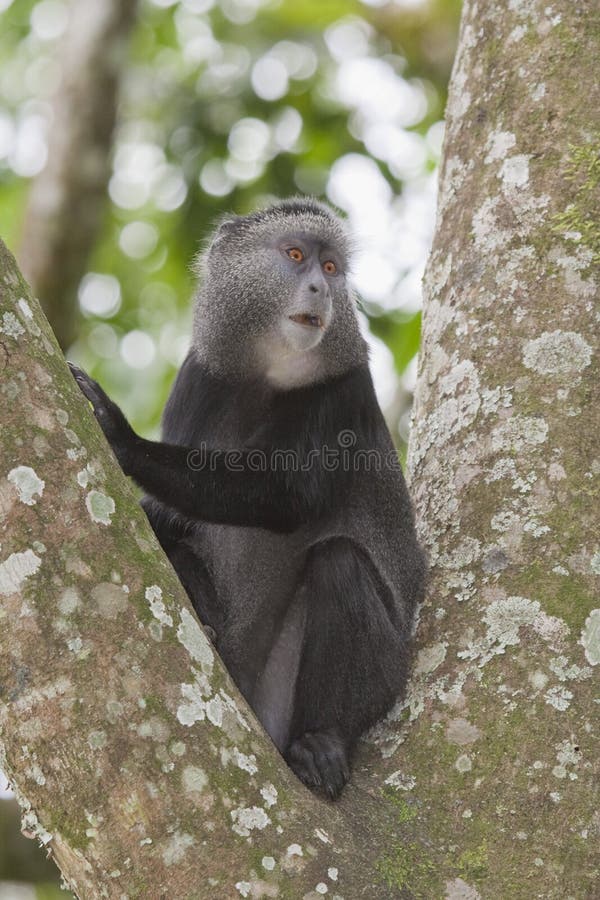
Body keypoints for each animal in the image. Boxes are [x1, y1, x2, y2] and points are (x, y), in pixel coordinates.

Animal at [69, 198, 426, 799]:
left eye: (332, 268)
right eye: (297, 255)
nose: (321, 289)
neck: (269, 371)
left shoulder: (344, 389)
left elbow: (287, 497)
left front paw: (122, 438)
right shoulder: (197, 374)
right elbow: (170, 515)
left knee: (339, 563)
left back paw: (324, 742)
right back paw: (209, 623)